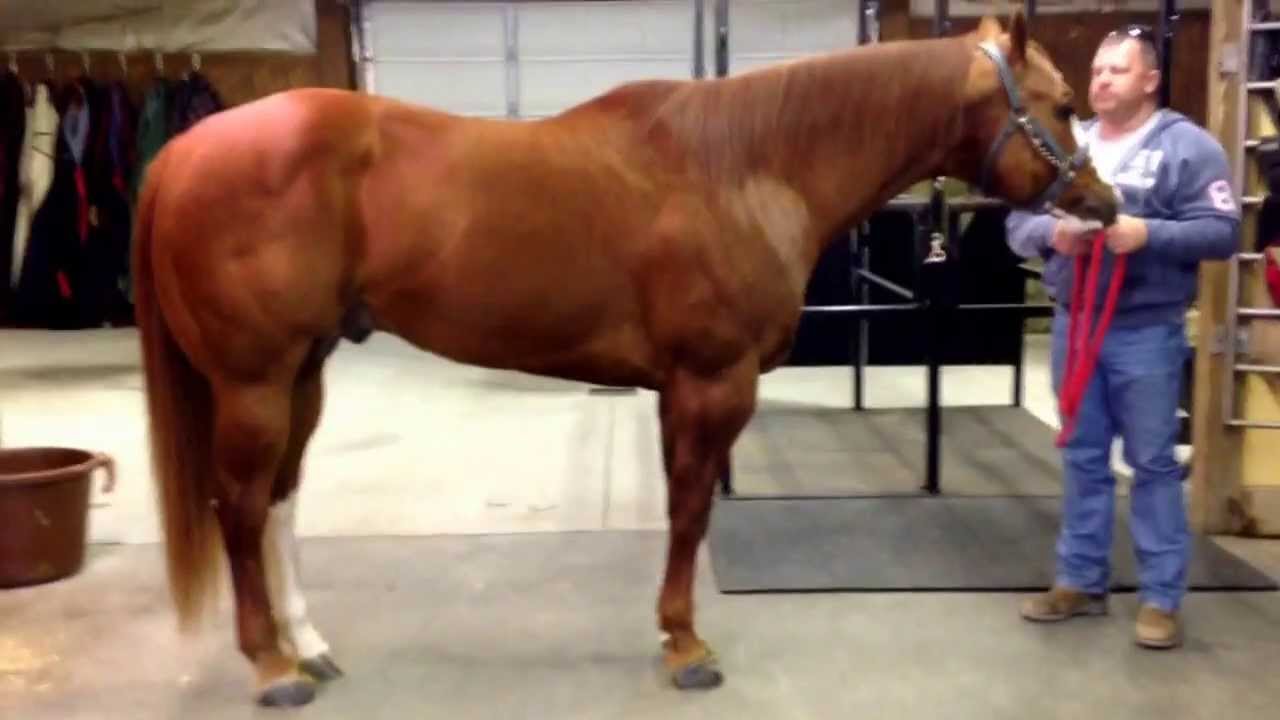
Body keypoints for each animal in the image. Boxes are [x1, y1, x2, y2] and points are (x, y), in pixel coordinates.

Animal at [132, 11, 1117, 708]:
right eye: (1065, 104)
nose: (1103, 205)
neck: (747, 166)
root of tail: (182, 151)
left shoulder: (683, 389)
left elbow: (686, 511)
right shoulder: (709, 384)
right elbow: (689, 512)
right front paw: (685, 647)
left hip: (302, 371)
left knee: (278, 505)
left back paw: (308, 646)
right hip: (254, 382)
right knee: (239, 508)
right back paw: (271, 668)